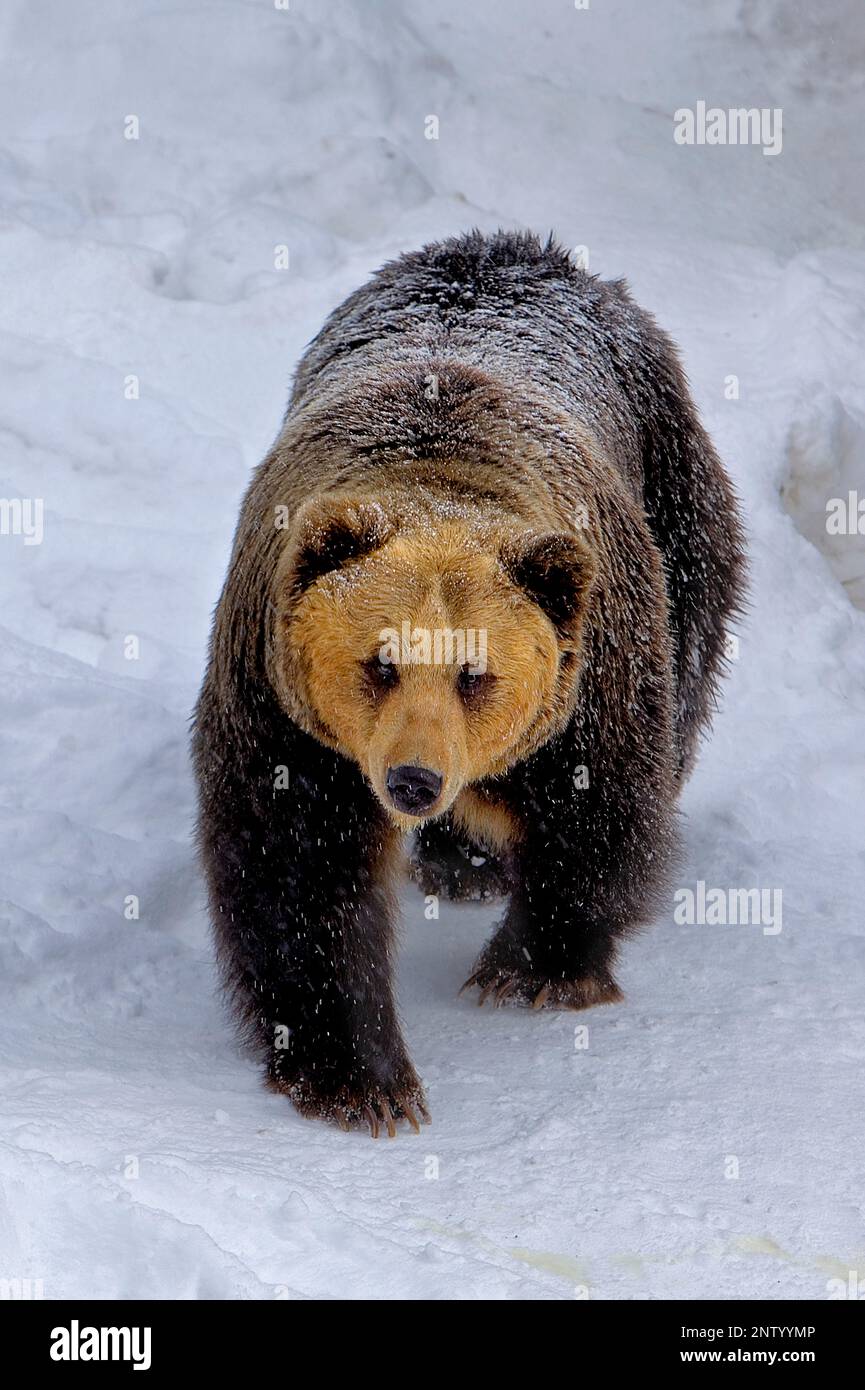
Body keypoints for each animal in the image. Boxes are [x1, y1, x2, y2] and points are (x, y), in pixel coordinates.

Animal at [193, 229, 746, 1137]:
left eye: (473, 673)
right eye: (380, 661)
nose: (414, 781)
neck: (441, 483)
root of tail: (522, 251)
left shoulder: (592, 669)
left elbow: (599, 810)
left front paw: (529, 969)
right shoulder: (283, 707)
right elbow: (298, 868)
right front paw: (362, 1078)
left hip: (677, 508)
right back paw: (458, 858)